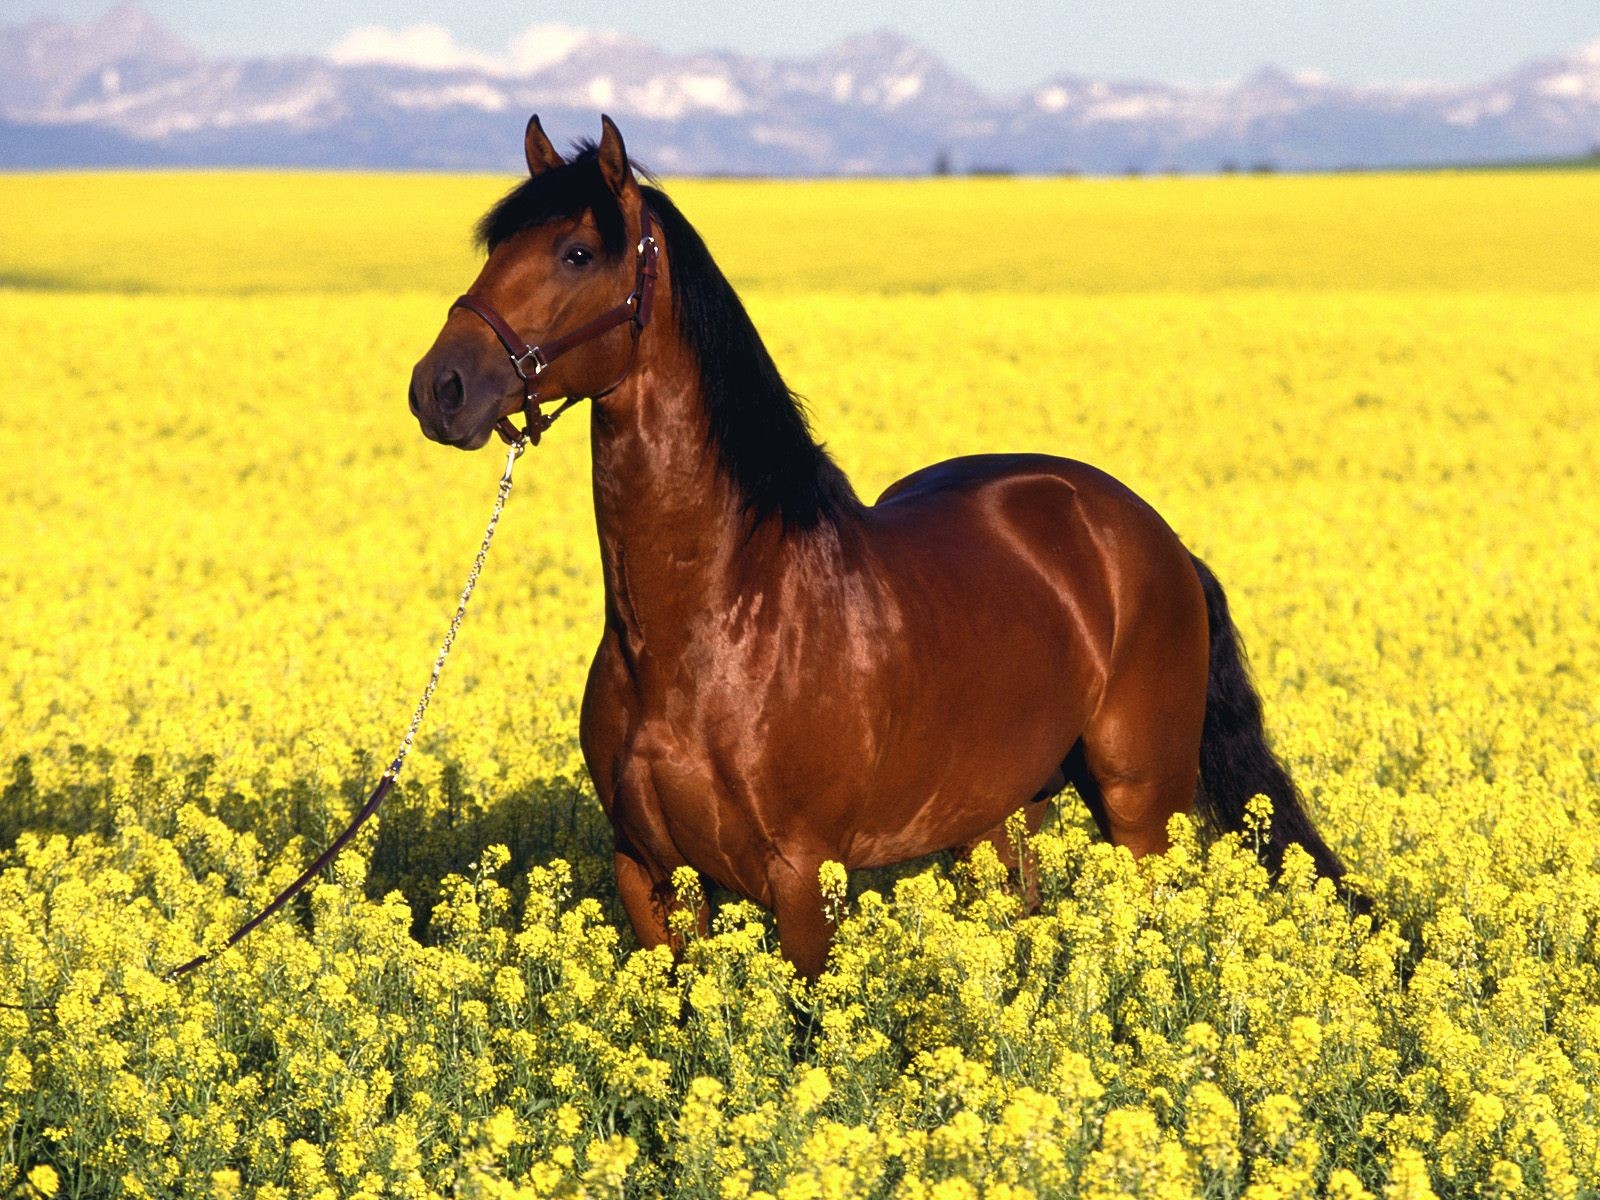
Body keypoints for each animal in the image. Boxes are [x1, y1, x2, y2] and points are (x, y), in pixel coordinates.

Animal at [409, 115, 1352, 978]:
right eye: (495, 246)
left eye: (576, 253)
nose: (439, 388)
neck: (709, 619)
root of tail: (1150, 535)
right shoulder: (648, 874)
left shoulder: (802, 876)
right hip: (999, 814)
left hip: (1140, 806)